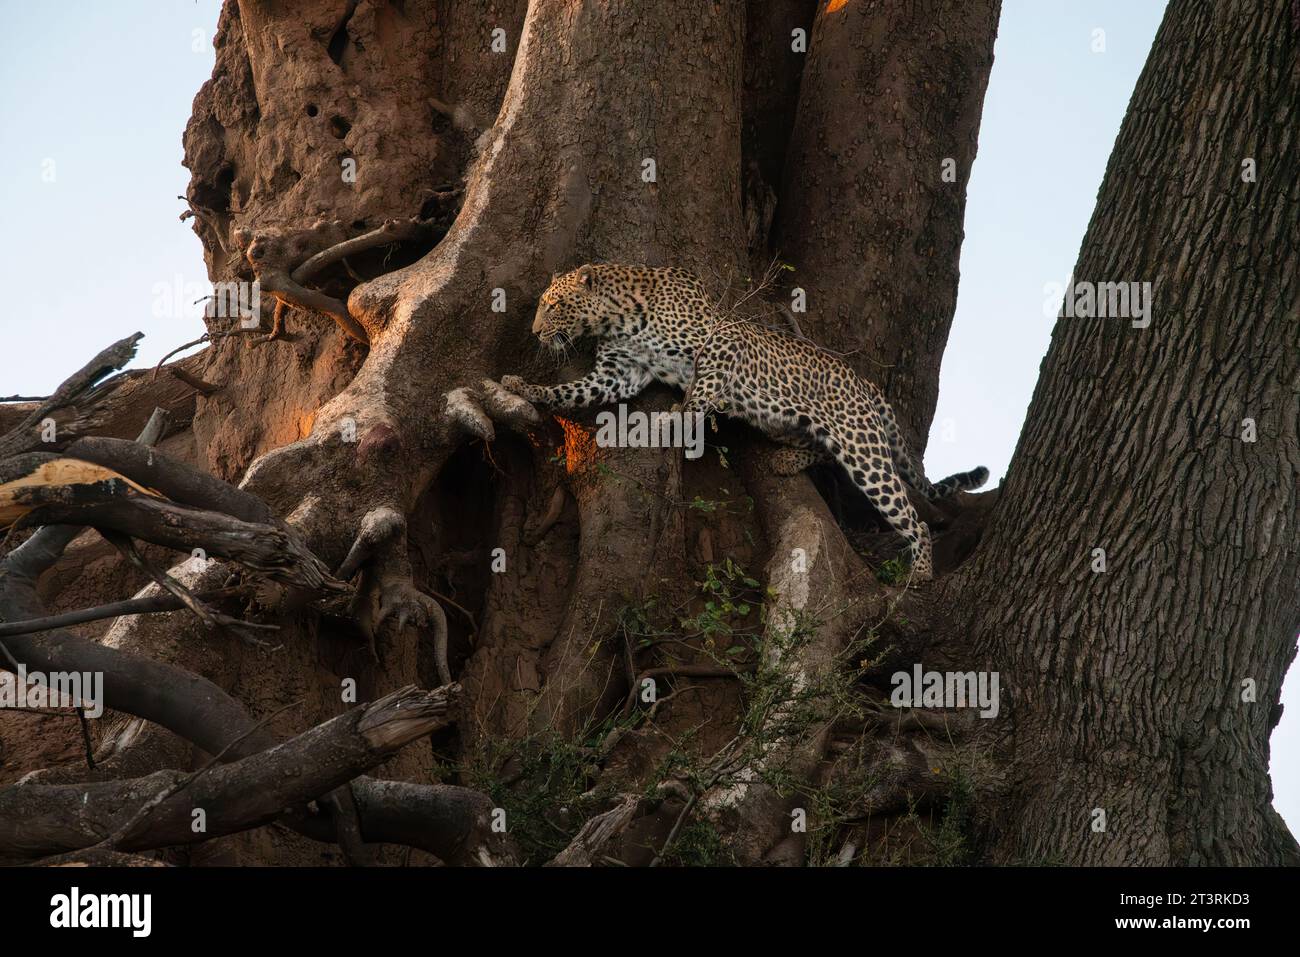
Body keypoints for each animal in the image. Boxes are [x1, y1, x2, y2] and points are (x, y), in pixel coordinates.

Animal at [501, 264, 989, 581]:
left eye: (555, 305)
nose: (535, 332)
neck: (616, 318)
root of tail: (865, 383)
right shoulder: (618, 373)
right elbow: (571, 391)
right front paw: (525, 387)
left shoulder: (725, 339)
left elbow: (701, 391)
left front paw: (675, 419)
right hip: (794, 424)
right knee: (818, 446)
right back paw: (785, 462)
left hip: (862, 448)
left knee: (913, 516)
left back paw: (920, 574)